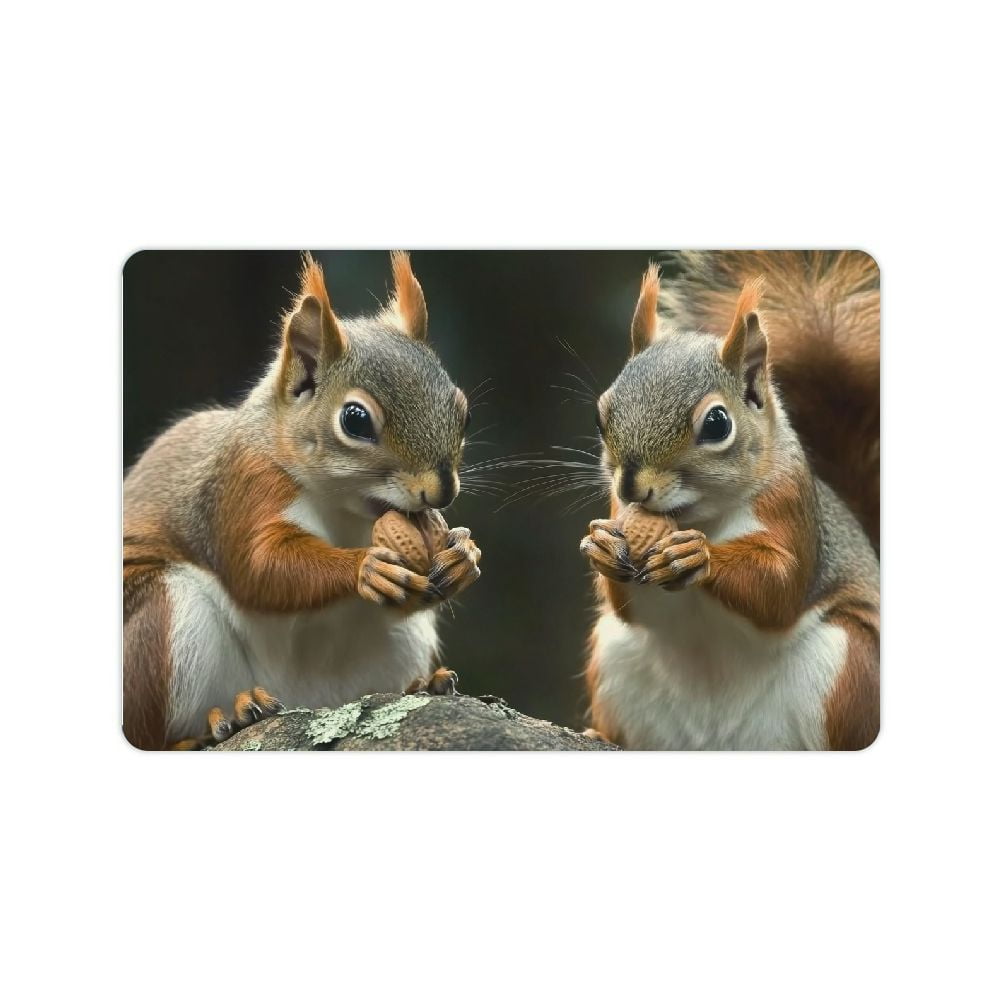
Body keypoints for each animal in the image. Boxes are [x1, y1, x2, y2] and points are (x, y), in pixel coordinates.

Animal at [123, 251, 482, 749]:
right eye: (355, 420)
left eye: (463, 412)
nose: (442, 491)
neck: (345, 508)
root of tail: (302, 699)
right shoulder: (244, 485)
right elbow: (259, 567)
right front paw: (365, 566)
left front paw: (463, 554)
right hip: (164, 626)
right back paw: (221, 721)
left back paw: (422, 684)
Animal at [580, 251, 879, 750]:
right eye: (601, 414)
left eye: (718, 423)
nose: (630, 487)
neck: (700, 516)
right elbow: (632, 607)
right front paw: (603, 545)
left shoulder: (789, 509)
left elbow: (779, 587)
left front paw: (695, 555)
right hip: (614, 654)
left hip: (845, 667)